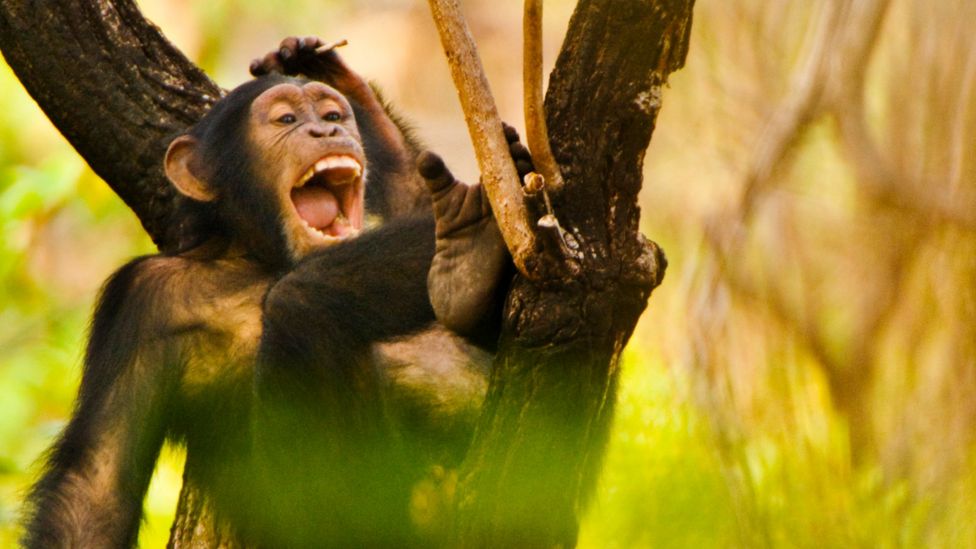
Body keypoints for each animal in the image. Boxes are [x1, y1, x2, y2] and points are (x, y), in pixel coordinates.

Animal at [21, 37, 533, 548]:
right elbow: (97, 485)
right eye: (286, 120)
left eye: (333, 114)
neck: (263, 257)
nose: (327, 129)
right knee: (299, 304)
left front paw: (332, 73)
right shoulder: (140, 297)